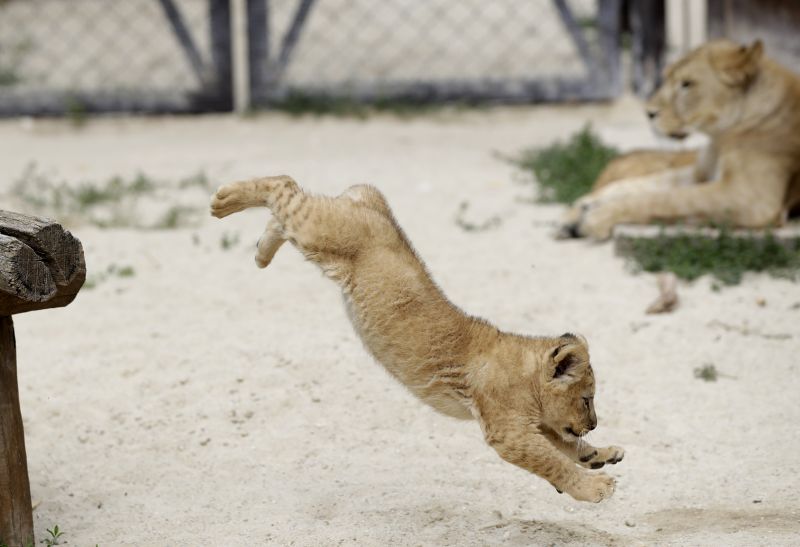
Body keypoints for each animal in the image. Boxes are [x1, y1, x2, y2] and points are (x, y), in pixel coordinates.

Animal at [210, 176, 624, 502]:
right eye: (587, 399)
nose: (594, 424)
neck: (525, 373)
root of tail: (371, 210)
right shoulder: (507, 430)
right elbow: (552, 460)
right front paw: (596, 487)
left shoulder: (532, 426)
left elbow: (566, 446)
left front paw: (600, 454)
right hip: (318, 229)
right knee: (283, 184)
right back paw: (222, 202)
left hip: (322, 225)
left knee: (288, 203)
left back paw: (260, 253)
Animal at [560, 39, 800, 240]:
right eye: (667, 78)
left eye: (686, 84)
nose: (649, 113)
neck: (720, 137)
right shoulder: (700, 173)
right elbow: (637, 185)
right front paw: (581, 207)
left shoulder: (751, 198)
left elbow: (665, 198)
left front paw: (597, 218)